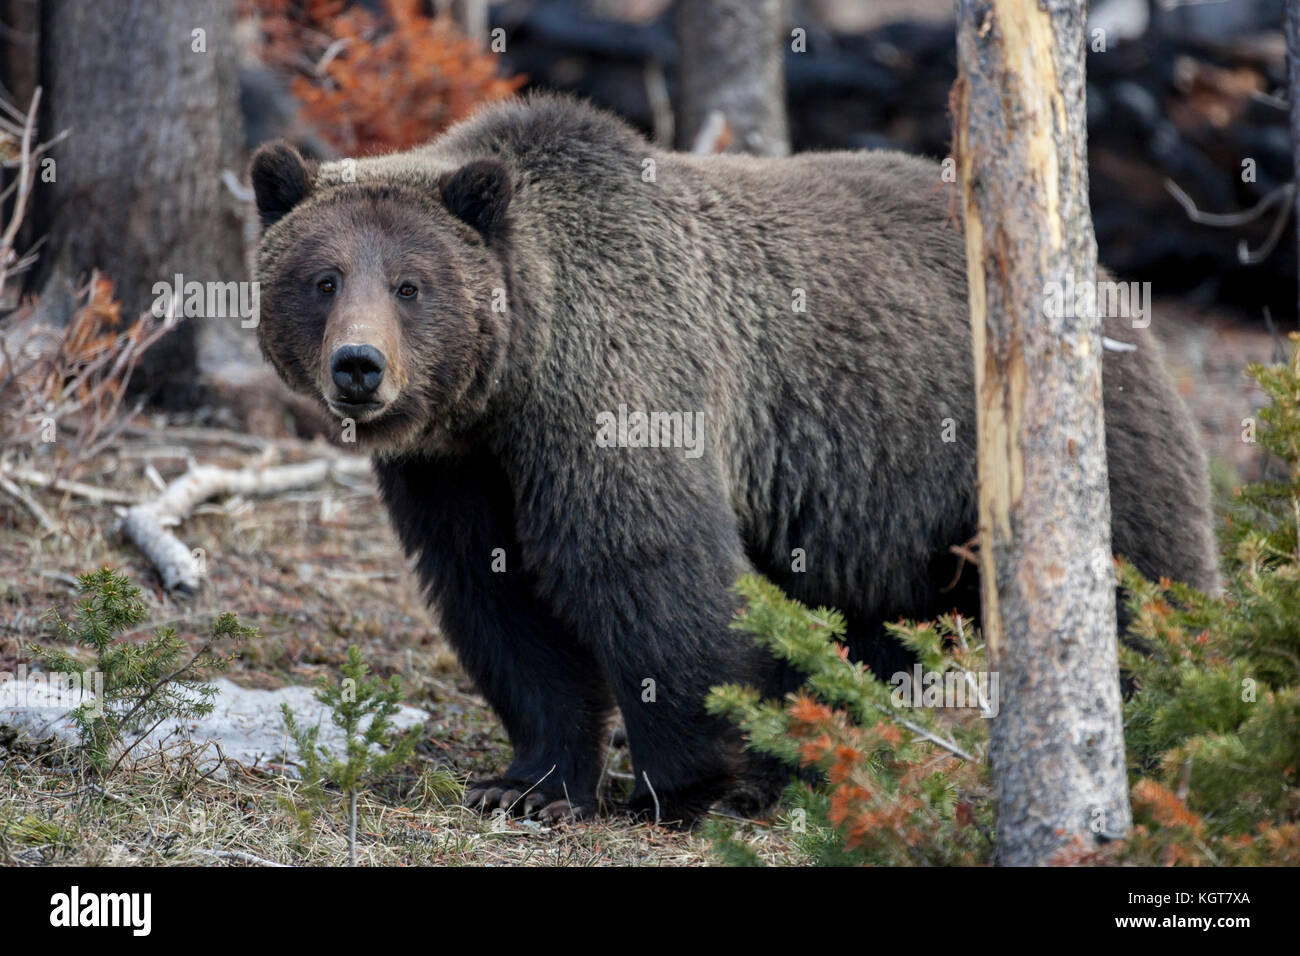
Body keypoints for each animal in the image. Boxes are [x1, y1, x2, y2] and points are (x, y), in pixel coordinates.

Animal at [249, 93, 1218, 825]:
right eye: (322, 278)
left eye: (410, 285)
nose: (359, 367)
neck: (511, 386)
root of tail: (1107, 283)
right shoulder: (457, 471)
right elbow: (499, 602)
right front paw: (526, 783)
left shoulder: (622, 387)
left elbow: (645, 568)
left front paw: (686, 780)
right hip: (876, 508)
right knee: (861, 628)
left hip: (1032, 436)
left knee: (1141, 580)